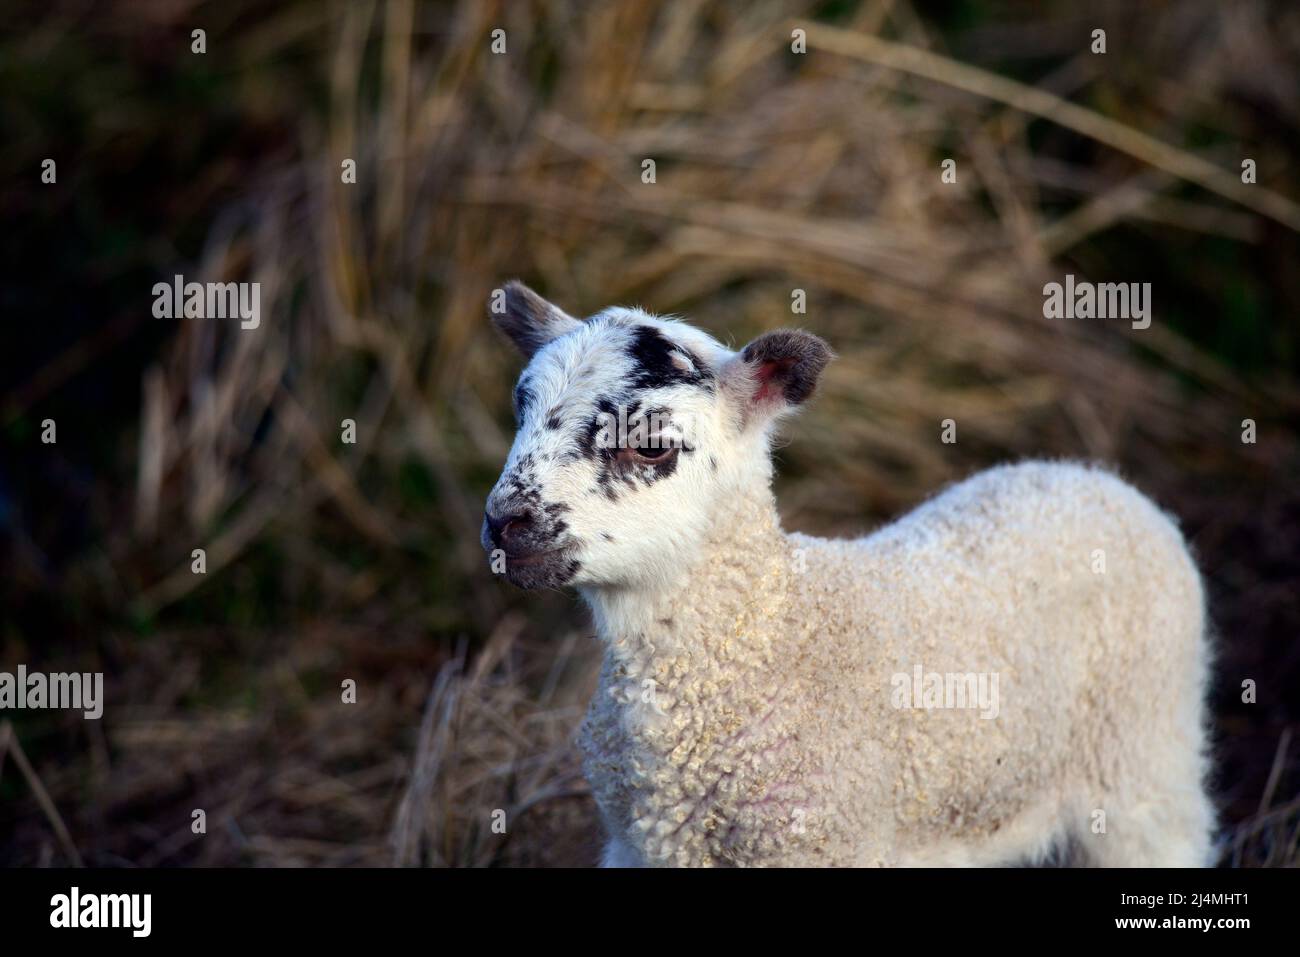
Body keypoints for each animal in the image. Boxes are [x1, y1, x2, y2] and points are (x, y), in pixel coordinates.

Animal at [482, 281, 1215, 868]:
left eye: (652, 444)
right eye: (520, 408)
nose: (505, 523)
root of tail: (1094, 478)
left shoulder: (821, 839)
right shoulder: (638, 845)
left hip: (1143, 759)